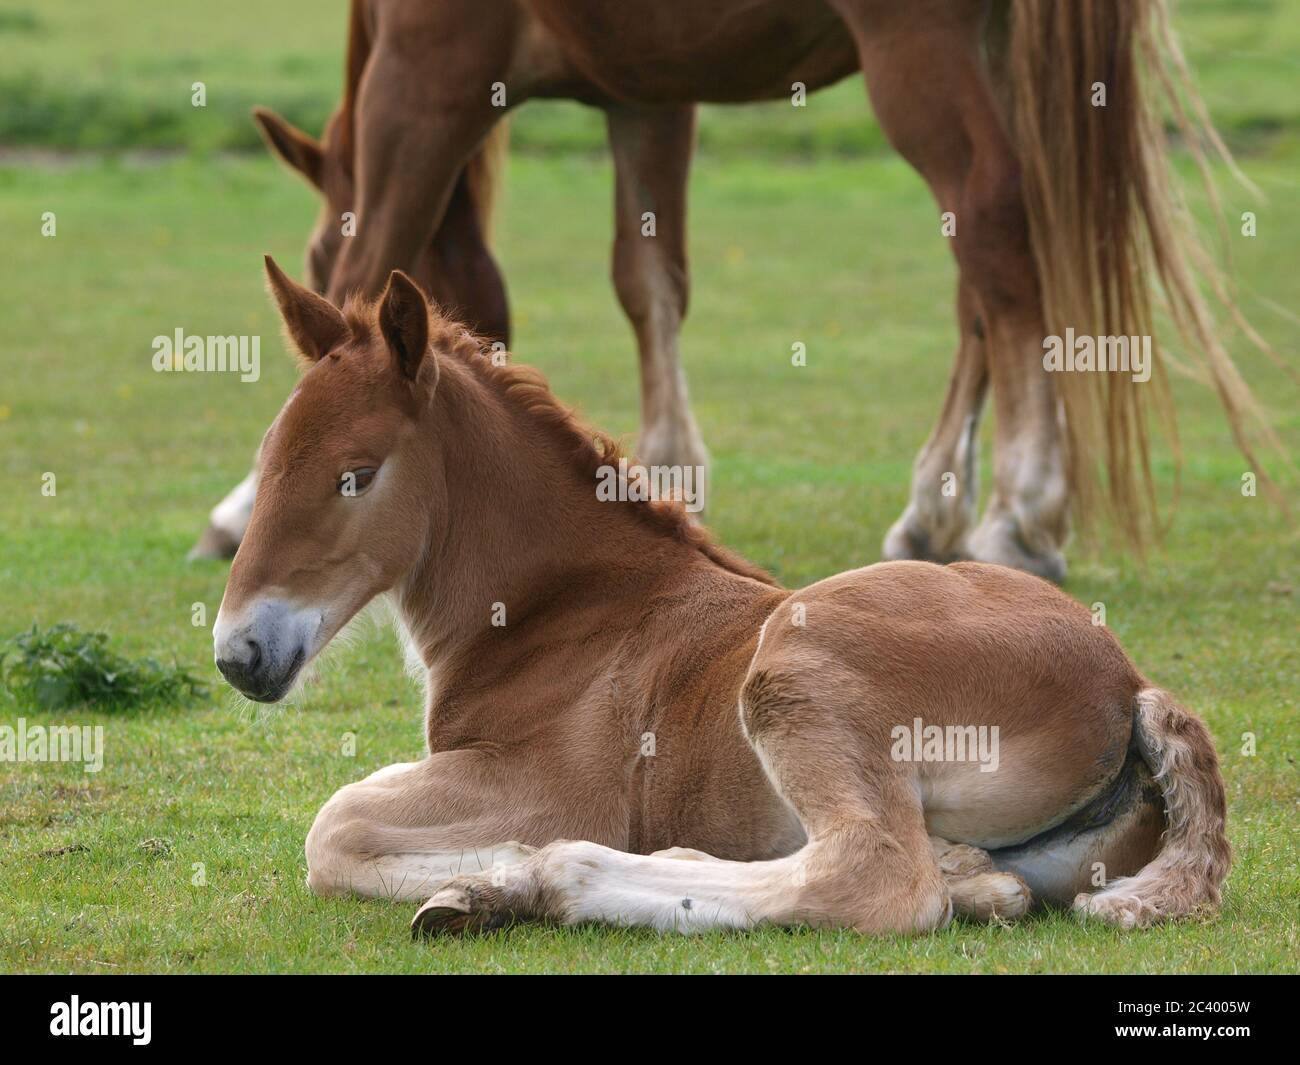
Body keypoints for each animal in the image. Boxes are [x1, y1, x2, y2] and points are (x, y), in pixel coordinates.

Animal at [191, 0, 1268, 581]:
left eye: (307, 259)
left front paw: (248, 499)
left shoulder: (424, 79)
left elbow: (370, 255)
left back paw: (1022, 509)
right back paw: (934, 509)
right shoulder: (646, 91)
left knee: (995, 220)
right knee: (983, 271)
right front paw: (665, 468)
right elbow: (648, 277)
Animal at [212, 257, 1231, 935]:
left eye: (356, 474)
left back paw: (547, 881)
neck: (558, 609)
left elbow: (335, 828)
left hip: (793, 664)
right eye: (263, 459)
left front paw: (496, 873)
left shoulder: (543, 785)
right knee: (963, 880)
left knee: (879, 879)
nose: (238, 652)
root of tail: (1130, 683)